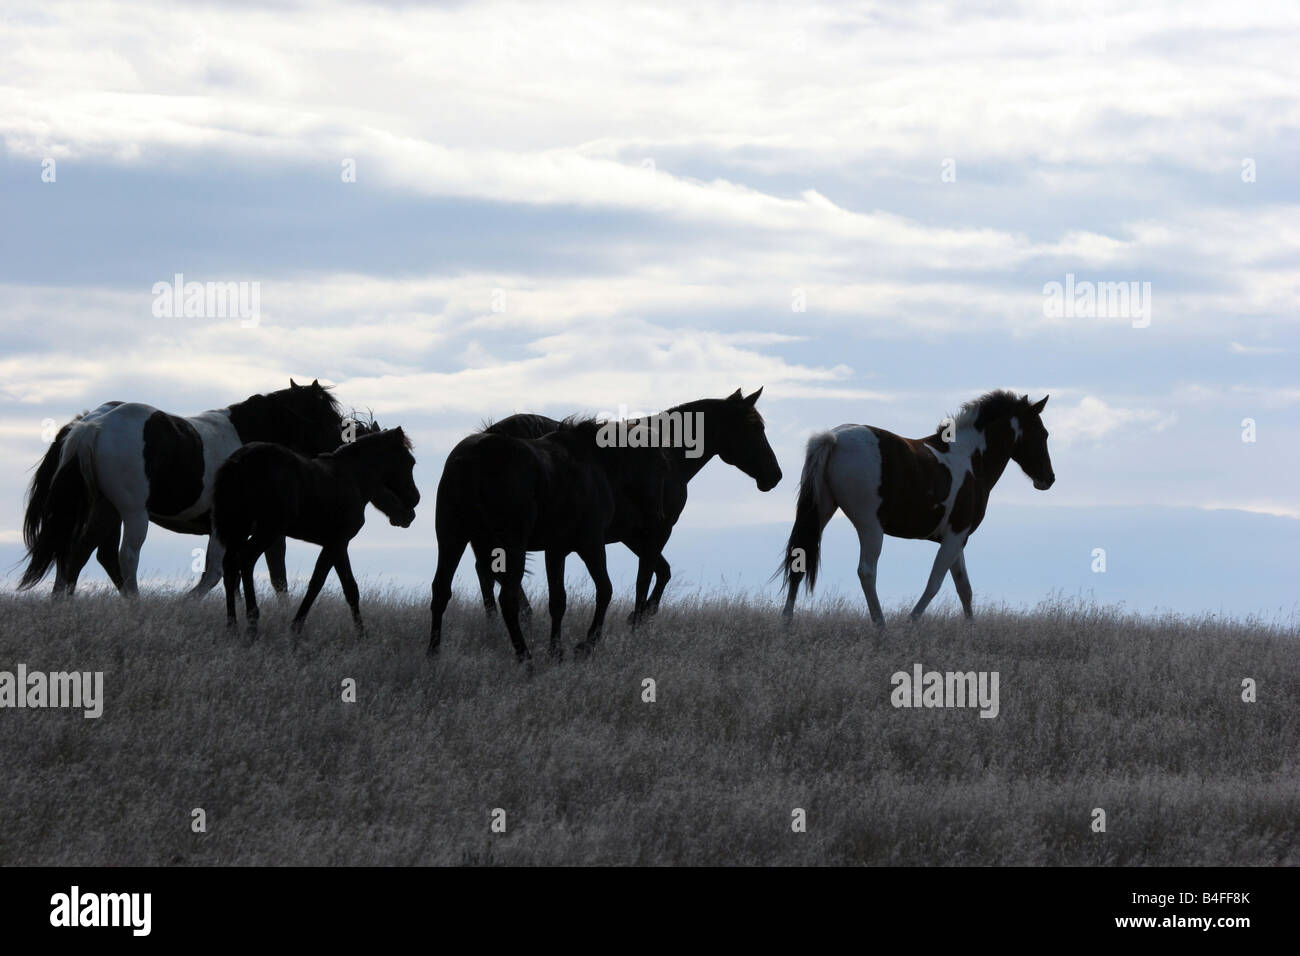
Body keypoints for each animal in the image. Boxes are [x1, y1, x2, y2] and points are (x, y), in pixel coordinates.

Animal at [19, 380, 346, 599]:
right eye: (329, 418)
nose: (340, 452)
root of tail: (92, 426)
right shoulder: (225, 527)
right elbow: (216, 572)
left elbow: (267, 572)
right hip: (132, 513)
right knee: (125, 556)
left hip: (103, 509)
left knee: (77, 553)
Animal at [213, 427, 419, 640]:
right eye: (410, 462)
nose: (415, 501)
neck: (351, 477)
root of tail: (240, 459)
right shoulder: (337, 542)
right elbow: (322, 584)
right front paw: (296, 628)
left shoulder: (335, 545)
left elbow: (343, 588)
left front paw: (360, 634)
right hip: (268, 530)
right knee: (246, 559)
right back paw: (252, 624)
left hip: (239, 529)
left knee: (229, 567)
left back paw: (232, 627)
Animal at [428, 418, 648, 663]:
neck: (592, 463)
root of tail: (470, 458)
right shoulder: (590, 543)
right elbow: (604, 590)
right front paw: (585, 645)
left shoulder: (556, 549)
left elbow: (558, 599)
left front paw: (557, 652)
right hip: (511, 548)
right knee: (508, 600)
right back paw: (525, 658)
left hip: (452, 539)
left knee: (441, 590)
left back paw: (433, 655)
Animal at [471, 388, 782, 626]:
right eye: (756, 428)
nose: (775, 476)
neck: (668, 451)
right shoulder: (656, 531)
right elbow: (646, 578)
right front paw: (638, 618)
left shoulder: (632, 535)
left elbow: (662, 572)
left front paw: (641, 615)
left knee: (486, 570)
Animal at [780, 391, 1054, 625]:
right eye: (1042, 433)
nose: (1048, 479)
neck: (971, 458)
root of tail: (834, 438)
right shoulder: (955, 537)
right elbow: (935, 583)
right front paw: (910, 622)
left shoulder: (957, 538)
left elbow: (964, 588)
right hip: (870, 526)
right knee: (867, 572)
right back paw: (881, 626)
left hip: (819, 513)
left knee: (799, 560)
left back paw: (787, 622)